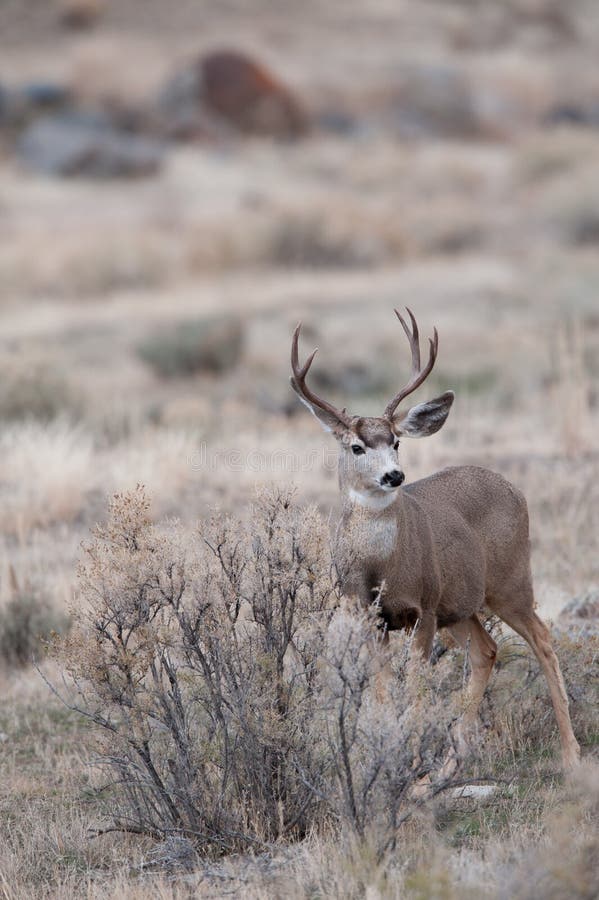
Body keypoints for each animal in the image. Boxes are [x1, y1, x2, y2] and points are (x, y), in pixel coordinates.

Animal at [290, 309, 581, 772]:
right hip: (460, 604)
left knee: (542, 639)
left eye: (396, 441)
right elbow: (383, 692)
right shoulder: (368, 614)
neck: (380, 569)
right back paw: (451, 760)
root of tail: (515, 489)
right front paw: (391, 763)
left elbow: (415, 690)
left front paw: (413, 772)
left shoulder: (422, 608)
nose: (394, 475)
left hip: (510, 580)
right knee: (486, 650)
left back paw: (571, 755)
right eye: (356, 447)